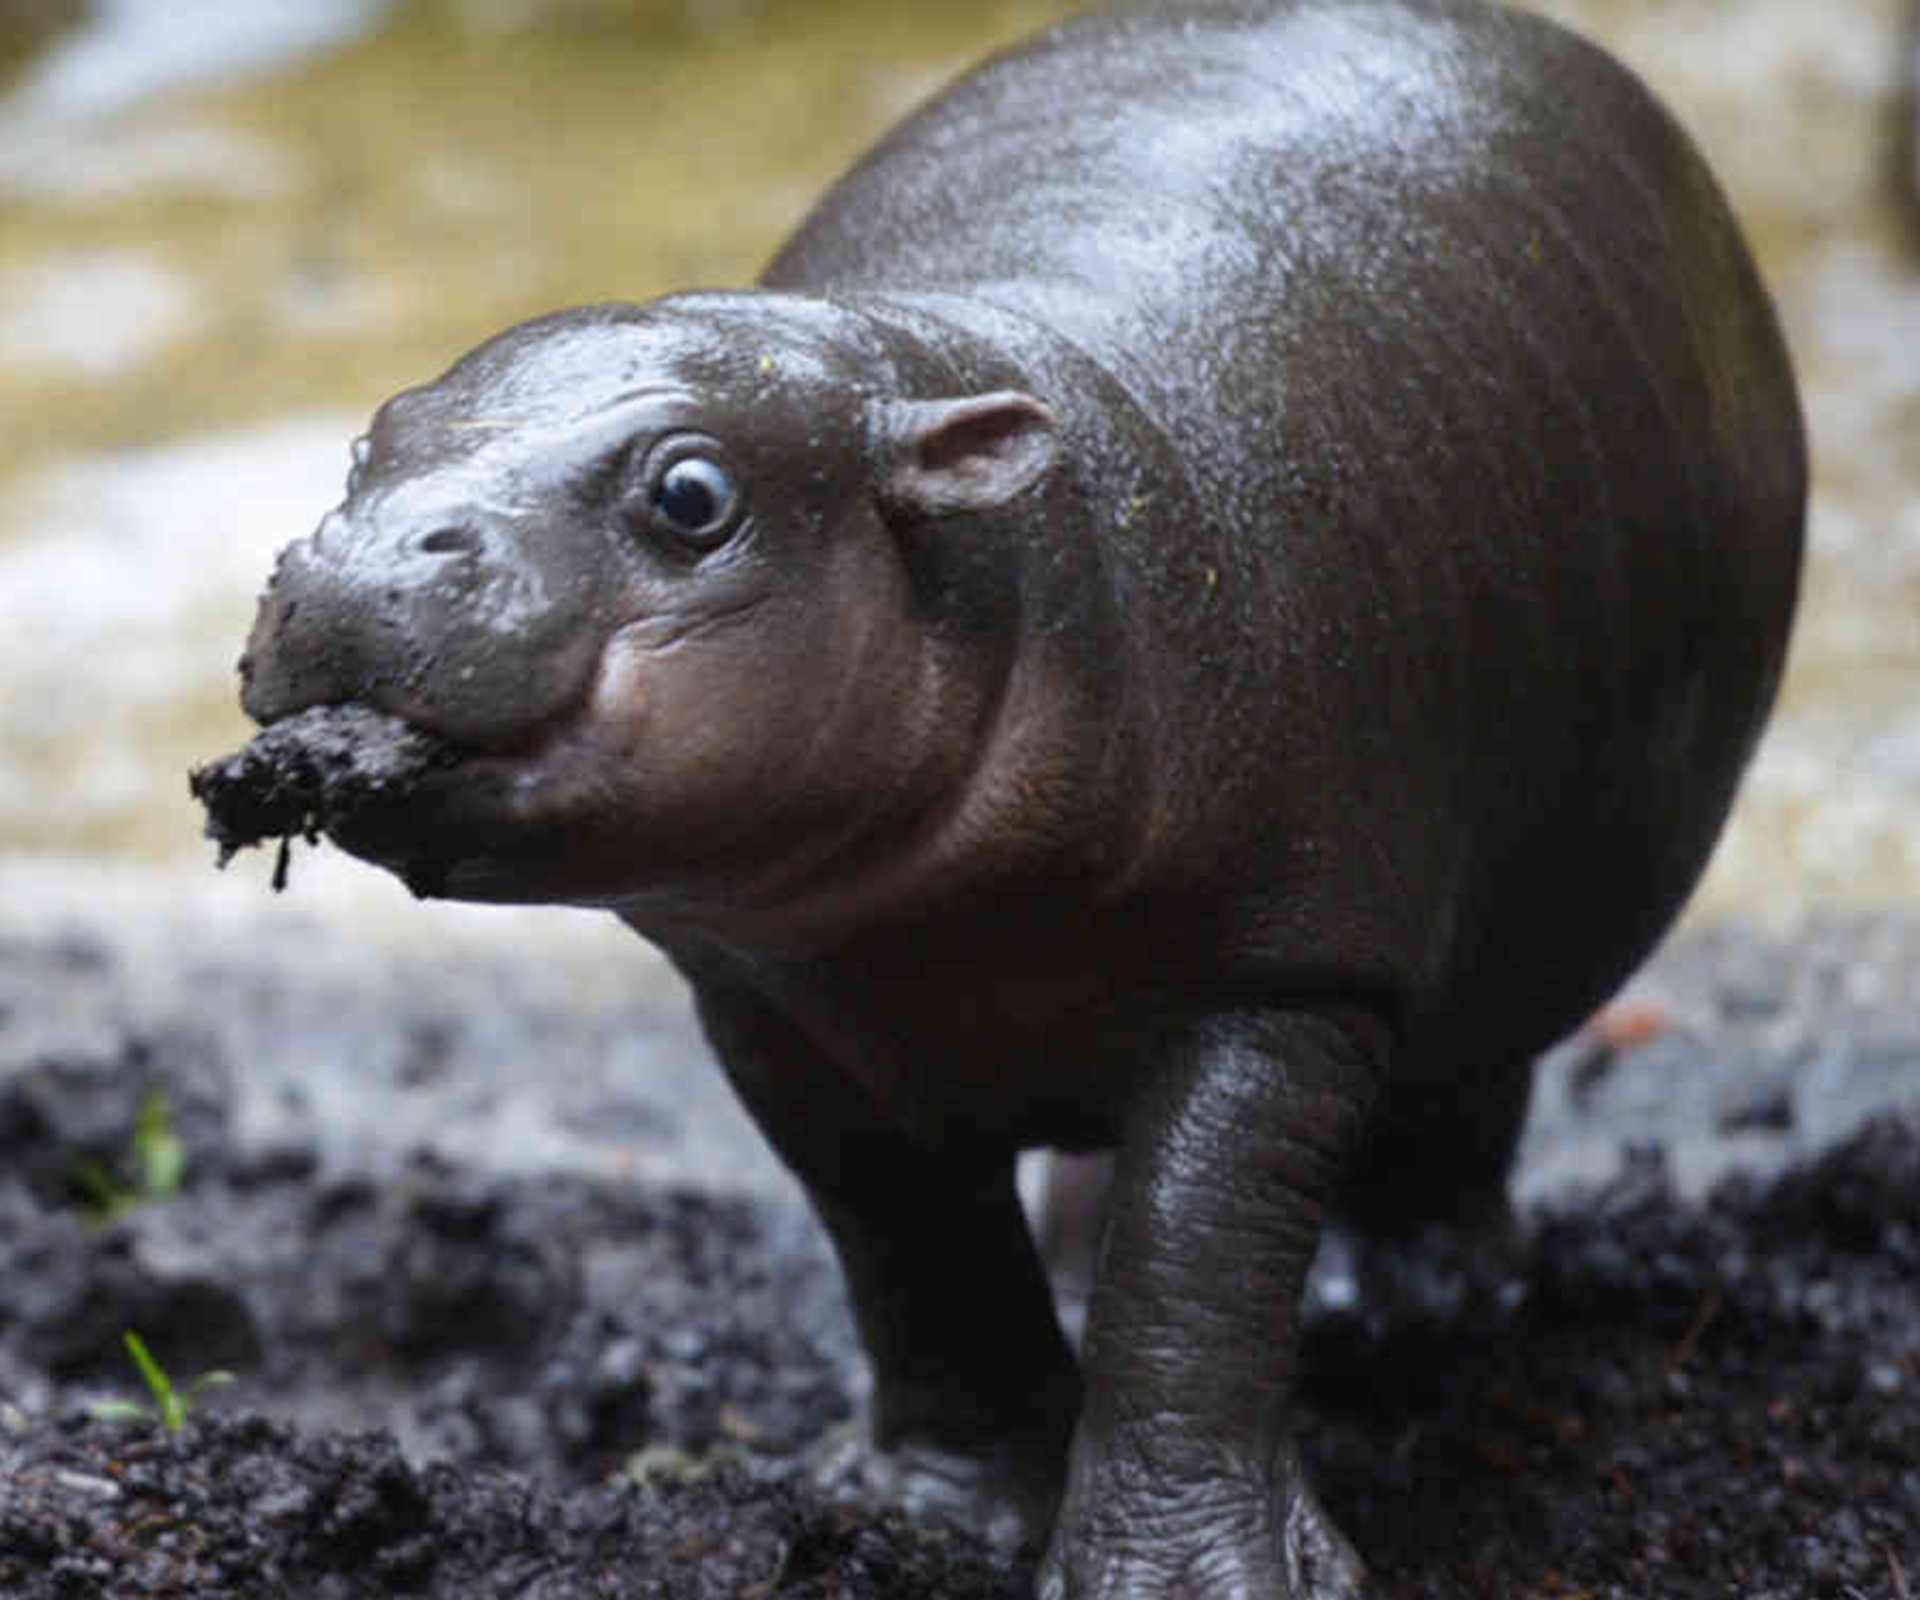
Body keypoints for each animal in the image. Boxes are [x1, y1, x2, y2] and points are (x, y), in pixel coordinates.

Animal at [194, 0, 1806, 1593]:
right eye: (368, 441)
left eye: (693, 495)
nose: (361, 558)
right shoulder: (771, 1003)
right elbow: (913, 1246)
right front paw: (936, 1509)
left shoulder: (1288, 975)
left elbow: (1194, 1261)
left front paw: (1188, 1578)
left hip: (1520, 906)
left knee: (1463, 1088)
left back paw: (1394, 1298)